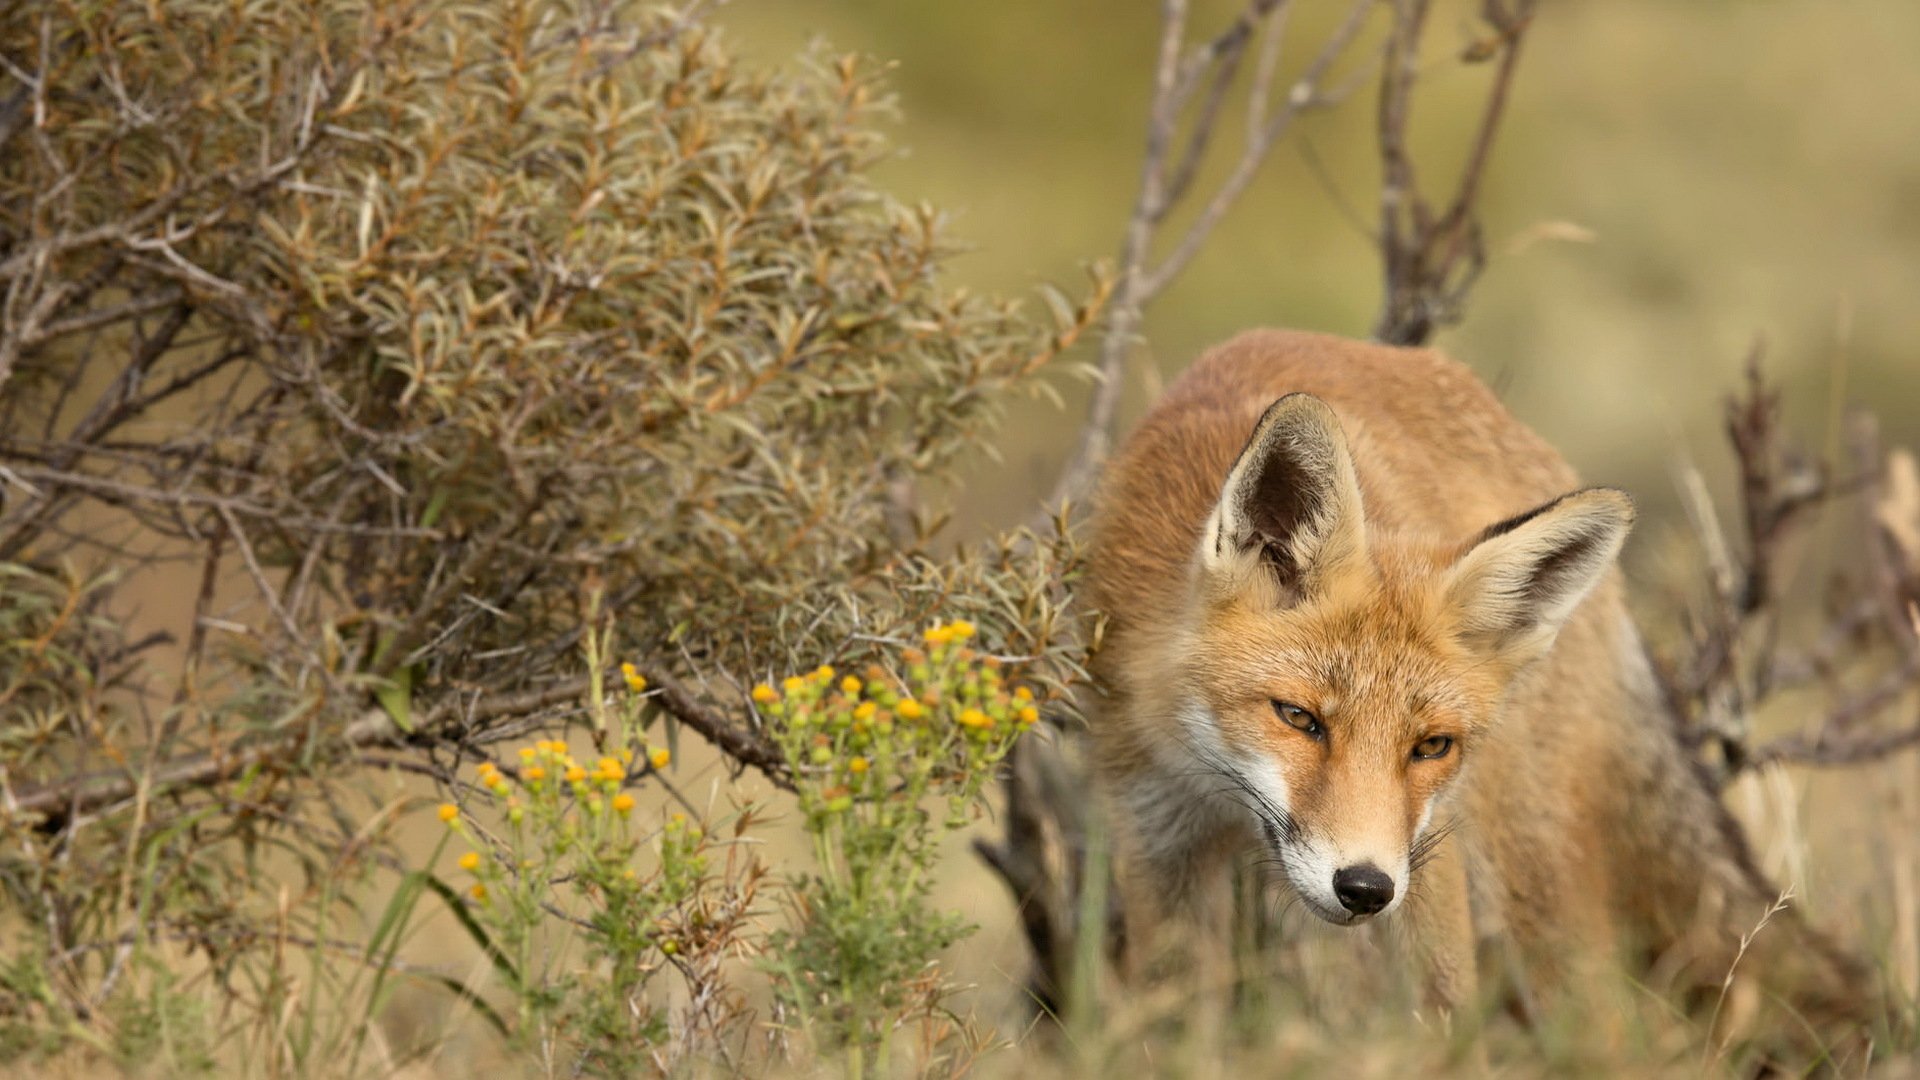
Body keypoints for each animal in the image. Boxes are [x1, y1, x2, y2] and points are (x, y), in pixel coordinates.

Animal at [1084, 329, 1876, 1053]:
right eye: (1298, 717)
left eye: (1431, 745)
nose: (1364, 888)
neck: (1207, 774)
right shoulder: (1157, 835)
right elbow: (1168, 1019)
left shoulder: (1424, 863)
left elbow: (1438, 1013)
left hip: (1526, 871)